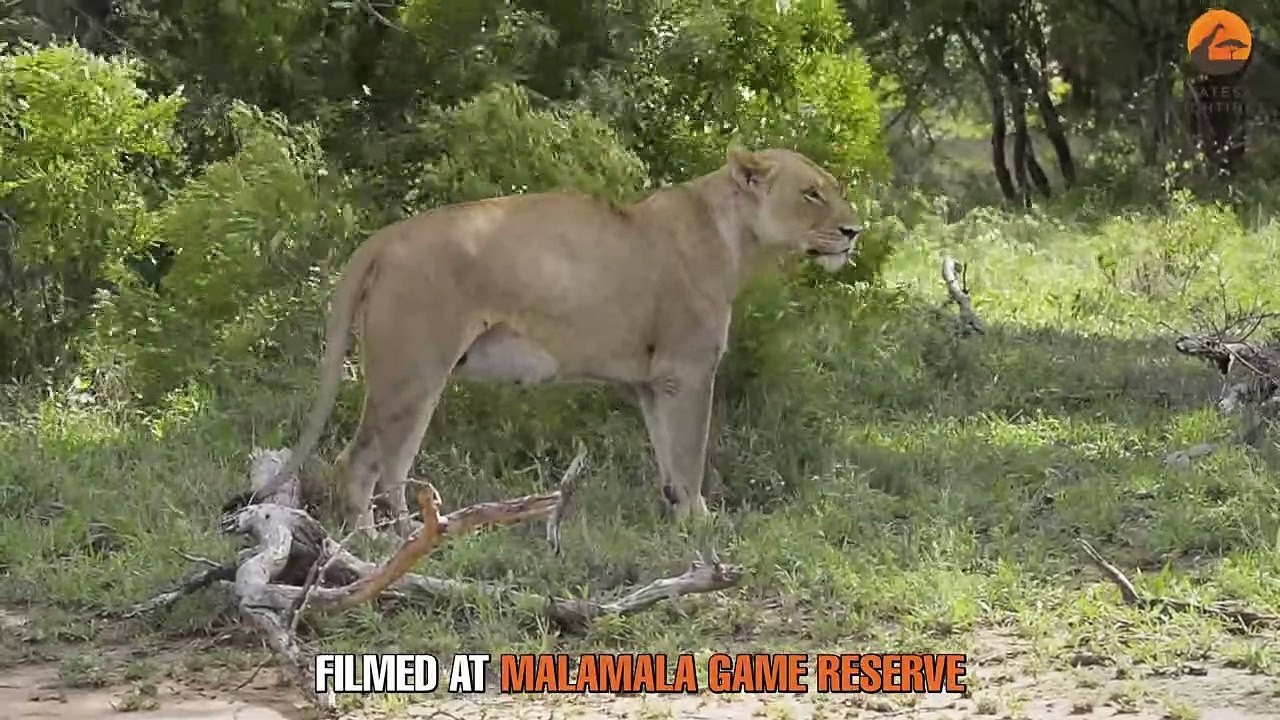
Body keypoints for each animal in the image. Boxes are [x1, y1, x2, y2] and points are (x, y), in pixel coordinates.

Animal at [254, 146, 862, 538]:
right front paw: (699, 526)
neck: (735, 237)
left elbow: (668, 457)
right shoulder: (686, 369)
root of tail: (385, 236)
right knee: (357, 463)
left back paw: (413, 538)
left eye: (833, 191)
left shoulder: (650, 383)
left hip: (421, 383)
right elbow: (690, 454)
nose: (854, 232)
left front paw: (677, 516)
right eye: (812, 194)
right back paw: (371, 548)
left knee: (395, 468)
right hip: (408, 372)